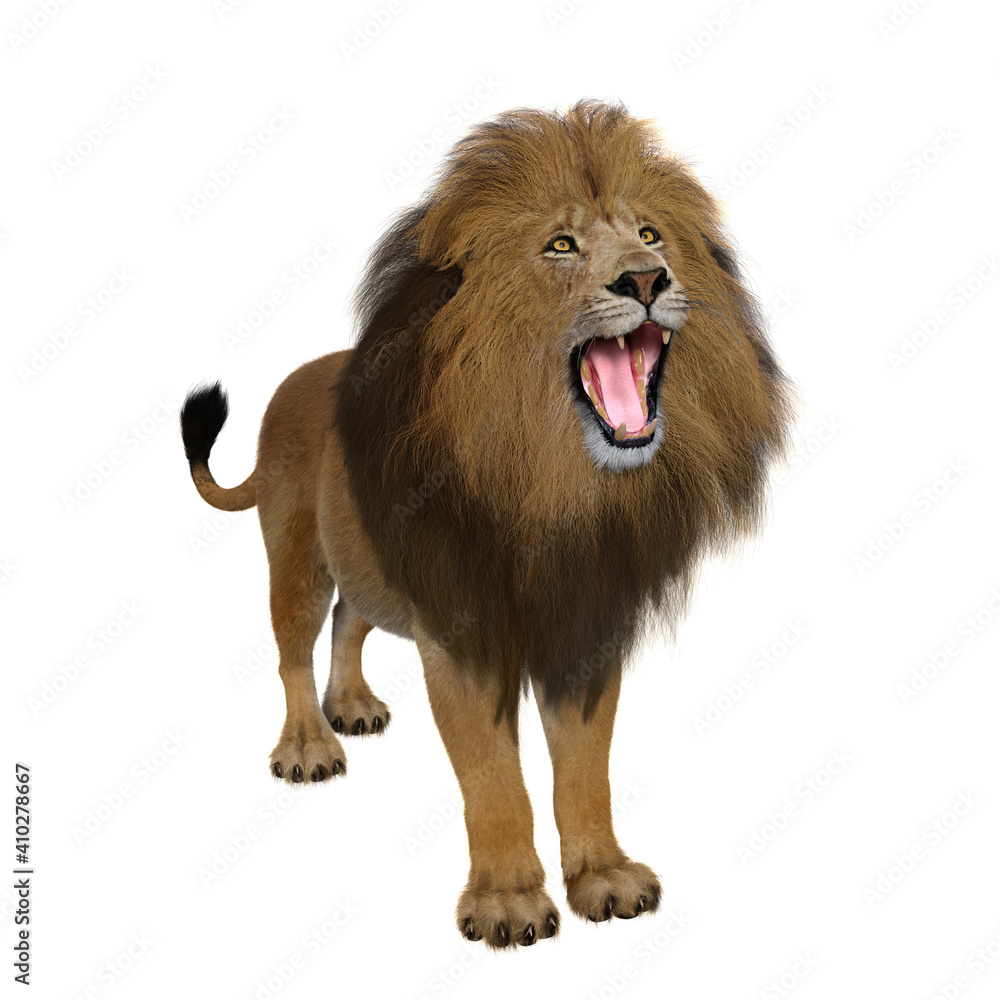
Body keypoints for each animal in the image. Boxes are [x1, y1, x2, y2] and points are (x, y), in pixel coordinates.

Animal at [180, 100, 793, 949]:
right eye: (561, 244)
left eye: (651, 233)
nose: (646, 279)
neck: (556, 486)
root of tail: (296, 377)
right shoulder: (460, 634)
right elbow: (495, 778)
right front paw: (508, 904)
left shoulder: (585, 631)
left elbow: (586, 771)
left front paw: (603, 877)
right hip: (296, 553)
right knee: (293, 648)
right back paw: (309, 743)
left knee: (348, 621)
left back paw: (354, 706)